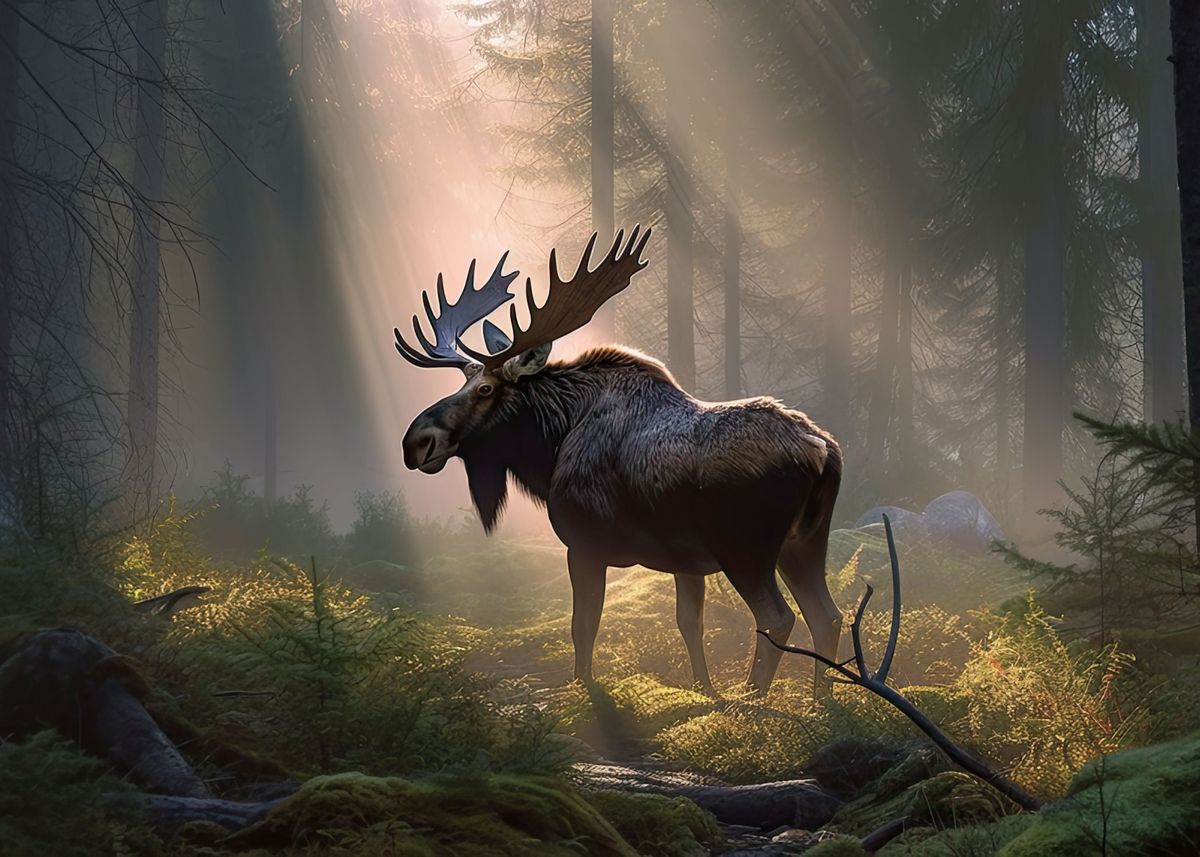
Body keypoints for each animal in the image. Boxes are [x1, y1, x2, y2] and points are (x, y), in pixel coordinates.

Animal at [395, 228, 843, 697]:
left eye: (485, 389)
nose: (415, 442)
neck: (552, 445)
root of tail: (820, 448)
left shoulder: (584, 543)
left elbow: (584, 626)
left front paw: (585, 690)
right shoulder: (686, 562)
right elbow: (689, 626)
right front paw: (705, 692)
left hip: (745, 548)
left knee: (778, 618)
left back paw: (751, 698)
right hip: (804, 542)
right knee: (827, 616)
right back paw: (821, 701)